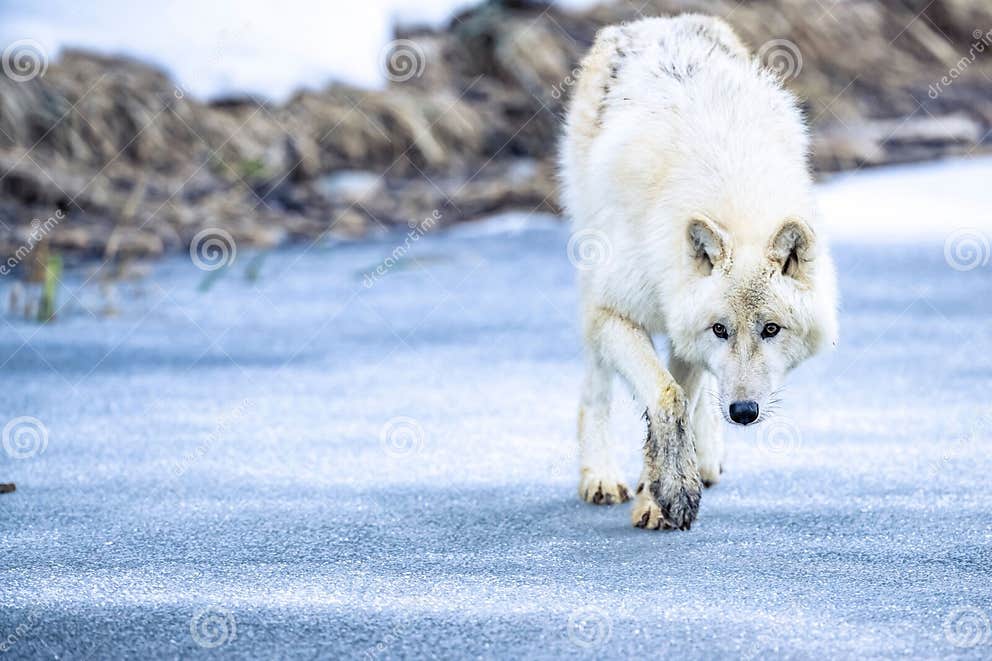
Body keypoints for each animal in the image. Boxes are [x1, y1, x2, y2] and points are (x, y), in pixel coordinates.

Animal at [559, 15, 838, 530]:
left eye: (771, 329)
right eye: (720, 329)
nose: (744, 411)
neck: (731, 194)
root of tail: (653, 21)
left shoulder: (682, 328)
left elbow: (681, 400)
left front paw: (656, 496)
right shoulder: (617, 312)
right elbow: (665, 396)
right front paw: (673, 491)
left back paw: (706, 458)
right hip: (592, 286)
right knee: (595, 389)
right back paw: (600, 475)